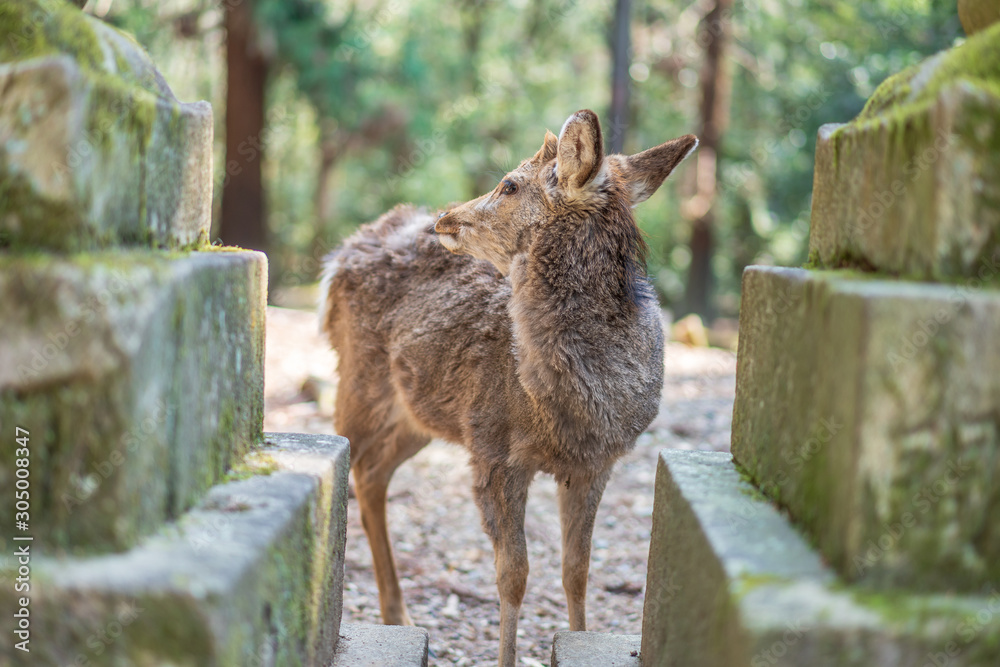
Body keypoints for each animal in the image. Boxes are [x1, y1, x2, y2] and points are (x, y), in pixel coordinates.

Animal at [320, 109, 697, 666]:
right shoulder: (495, 450)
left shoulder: (596, 463)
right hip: (359, 380)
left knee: (372, 474)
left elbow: (577, 571)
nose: (445, 217)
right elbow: (513, 576)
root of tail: (339, 254)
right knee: (352, 464)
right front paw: (507, 656)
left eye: (509, 184)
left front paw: (578, 639)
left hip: (421, 414)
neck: (569, 410)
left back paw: (397, 613)